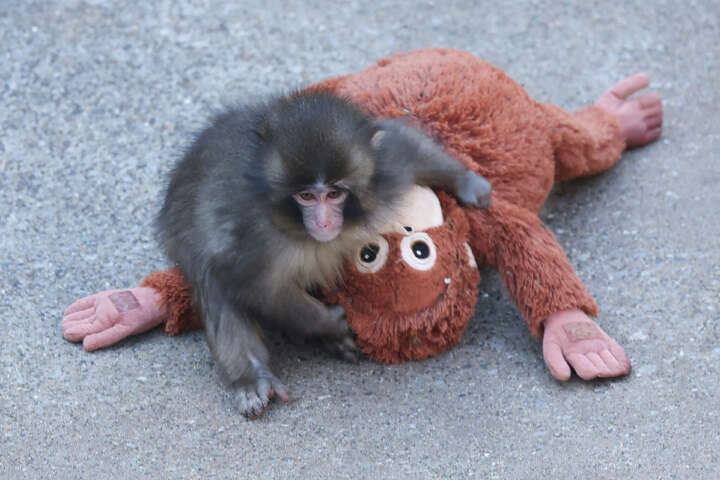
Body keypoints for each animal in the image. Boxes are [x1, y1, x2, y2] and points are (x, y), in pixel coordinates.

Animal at [156, 90, 491, 418]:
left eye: (334, 193)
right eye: (306, 196)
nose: (324, 222)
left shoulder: (385, 171)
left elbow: (404, 144)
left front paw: (468, 183)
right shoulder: (249, 234)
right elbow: (257, 287)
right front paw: (330, 323)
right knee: (212, 281)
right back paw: (252, 377)